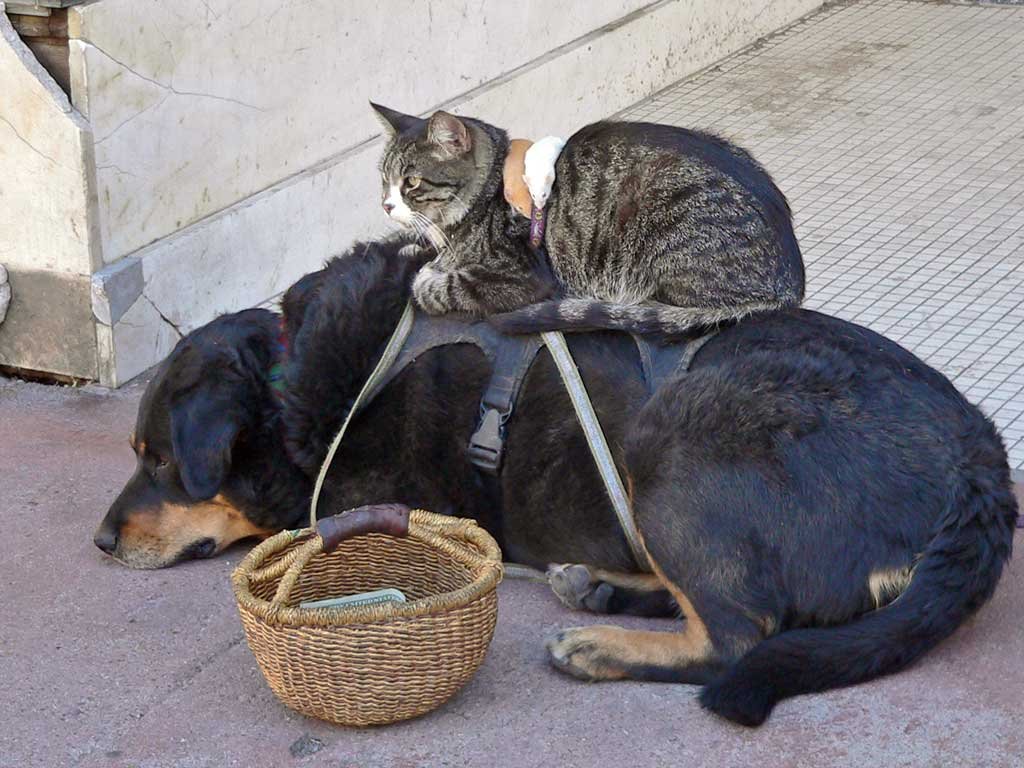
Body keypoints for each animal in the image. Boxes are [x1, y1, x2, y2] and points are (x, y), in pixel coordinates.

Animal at [94, 234, 1015, 729]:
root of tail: (981, 464)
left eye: (160, 461)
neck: (307, 377)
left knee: (737, 635)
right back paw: (599, 591)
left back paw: (601, 642)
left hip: (670, 440)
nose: (102, 539)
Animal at [372, 102, 802, 335]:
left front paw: (426, 277)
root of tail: (789, 286)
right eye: (383, 178)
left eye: (410, 182)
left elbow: (446, 287)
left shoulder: (522, 273)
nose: (386, 205)